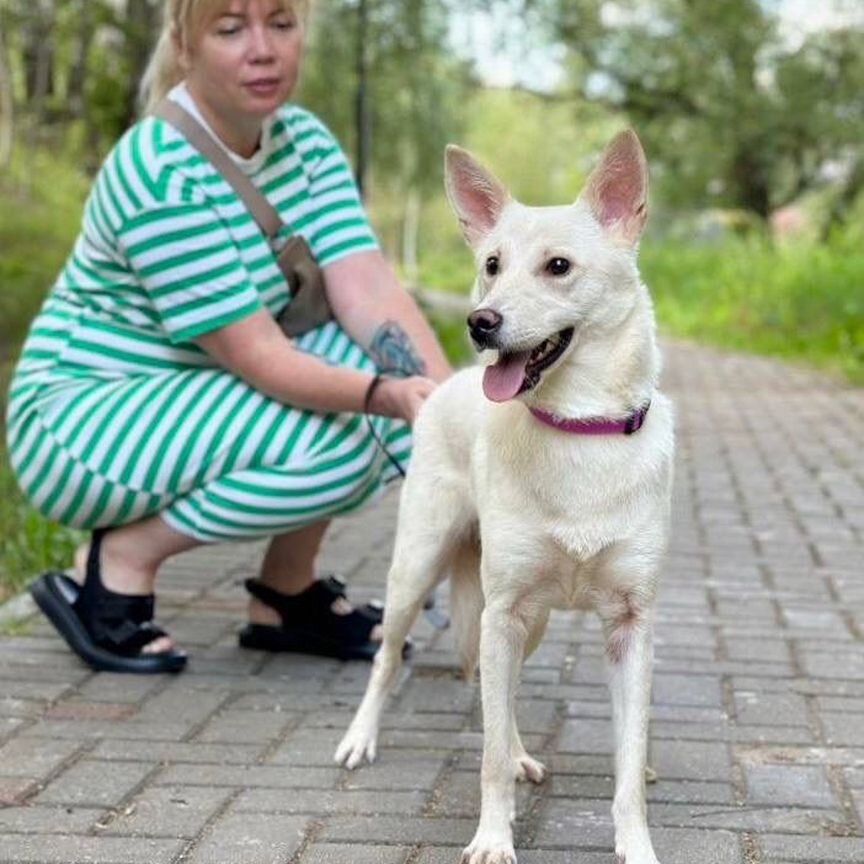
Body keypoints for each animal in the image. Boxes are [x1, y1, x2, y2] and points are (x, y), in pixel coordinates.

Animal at [338, 130, 676, 864]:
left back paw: (523, 752)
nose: (479, 322)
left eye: (558, 266)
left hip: (529, 618)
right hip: (420, 571)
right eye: (491, 264)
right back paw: (359, 738)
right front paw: (493, 839)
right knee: (389, 659)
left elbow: (627, 758)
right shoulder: (504, 611)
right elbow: (487, 755)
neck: (579, 428)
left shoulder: (630, 626)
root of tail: (441, 385)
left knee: (506, 701)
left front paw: (636, 842)